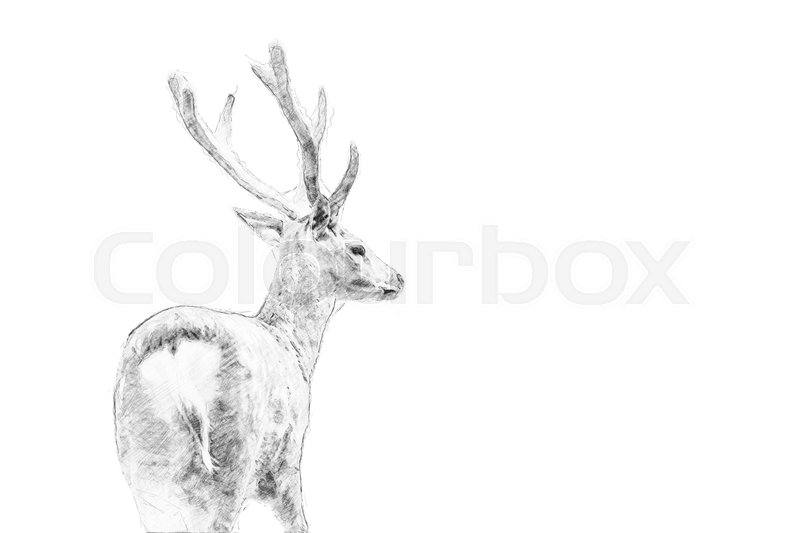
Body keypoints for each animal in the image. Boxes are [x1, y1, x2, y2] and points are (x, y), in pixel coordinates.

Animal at [114, 44, 404, 533]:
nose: (398, 278)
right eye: (358, 247)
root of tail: (171, 346)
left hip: (142, 470)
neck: (295, 347)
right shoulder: (288, 464)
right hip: (233, 457)